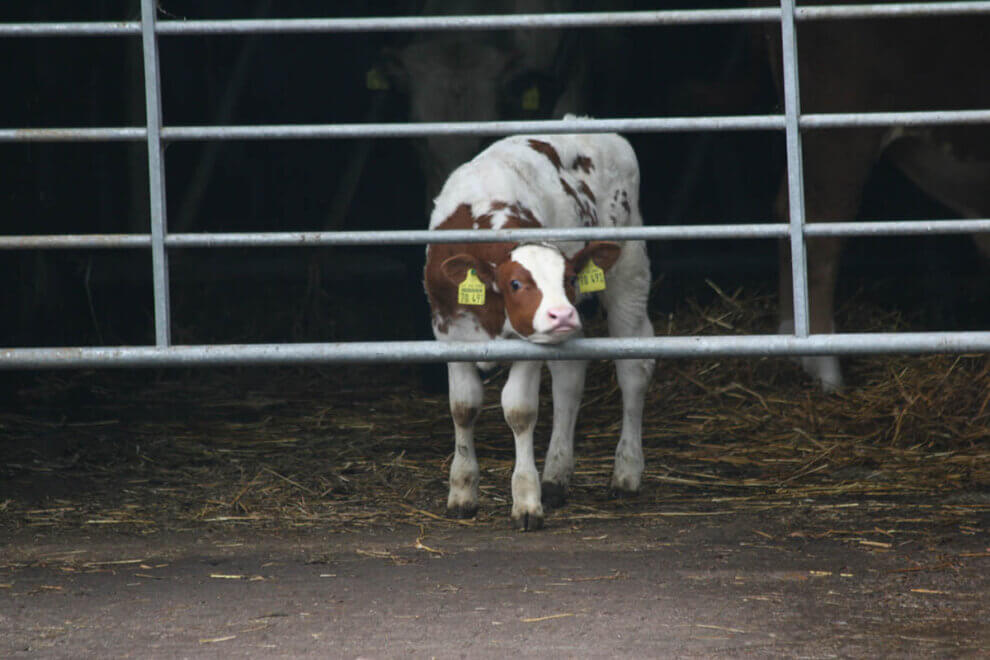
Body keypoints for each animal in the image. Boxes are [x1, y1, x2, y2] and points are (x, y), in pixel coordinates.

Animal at [424, 125, 654, 530]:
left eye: (569, 277)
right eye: (516, 283)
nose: (561, 314)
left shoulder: (529, 342)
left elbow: (519, 411)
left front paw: (526, 501)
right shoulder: (448, 332)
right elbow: (463, 407)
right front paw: (463, 492)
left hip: (629, 271)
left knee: (633, 371)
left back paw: (626, 471)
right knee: (569, 382)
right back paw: (555, 477)